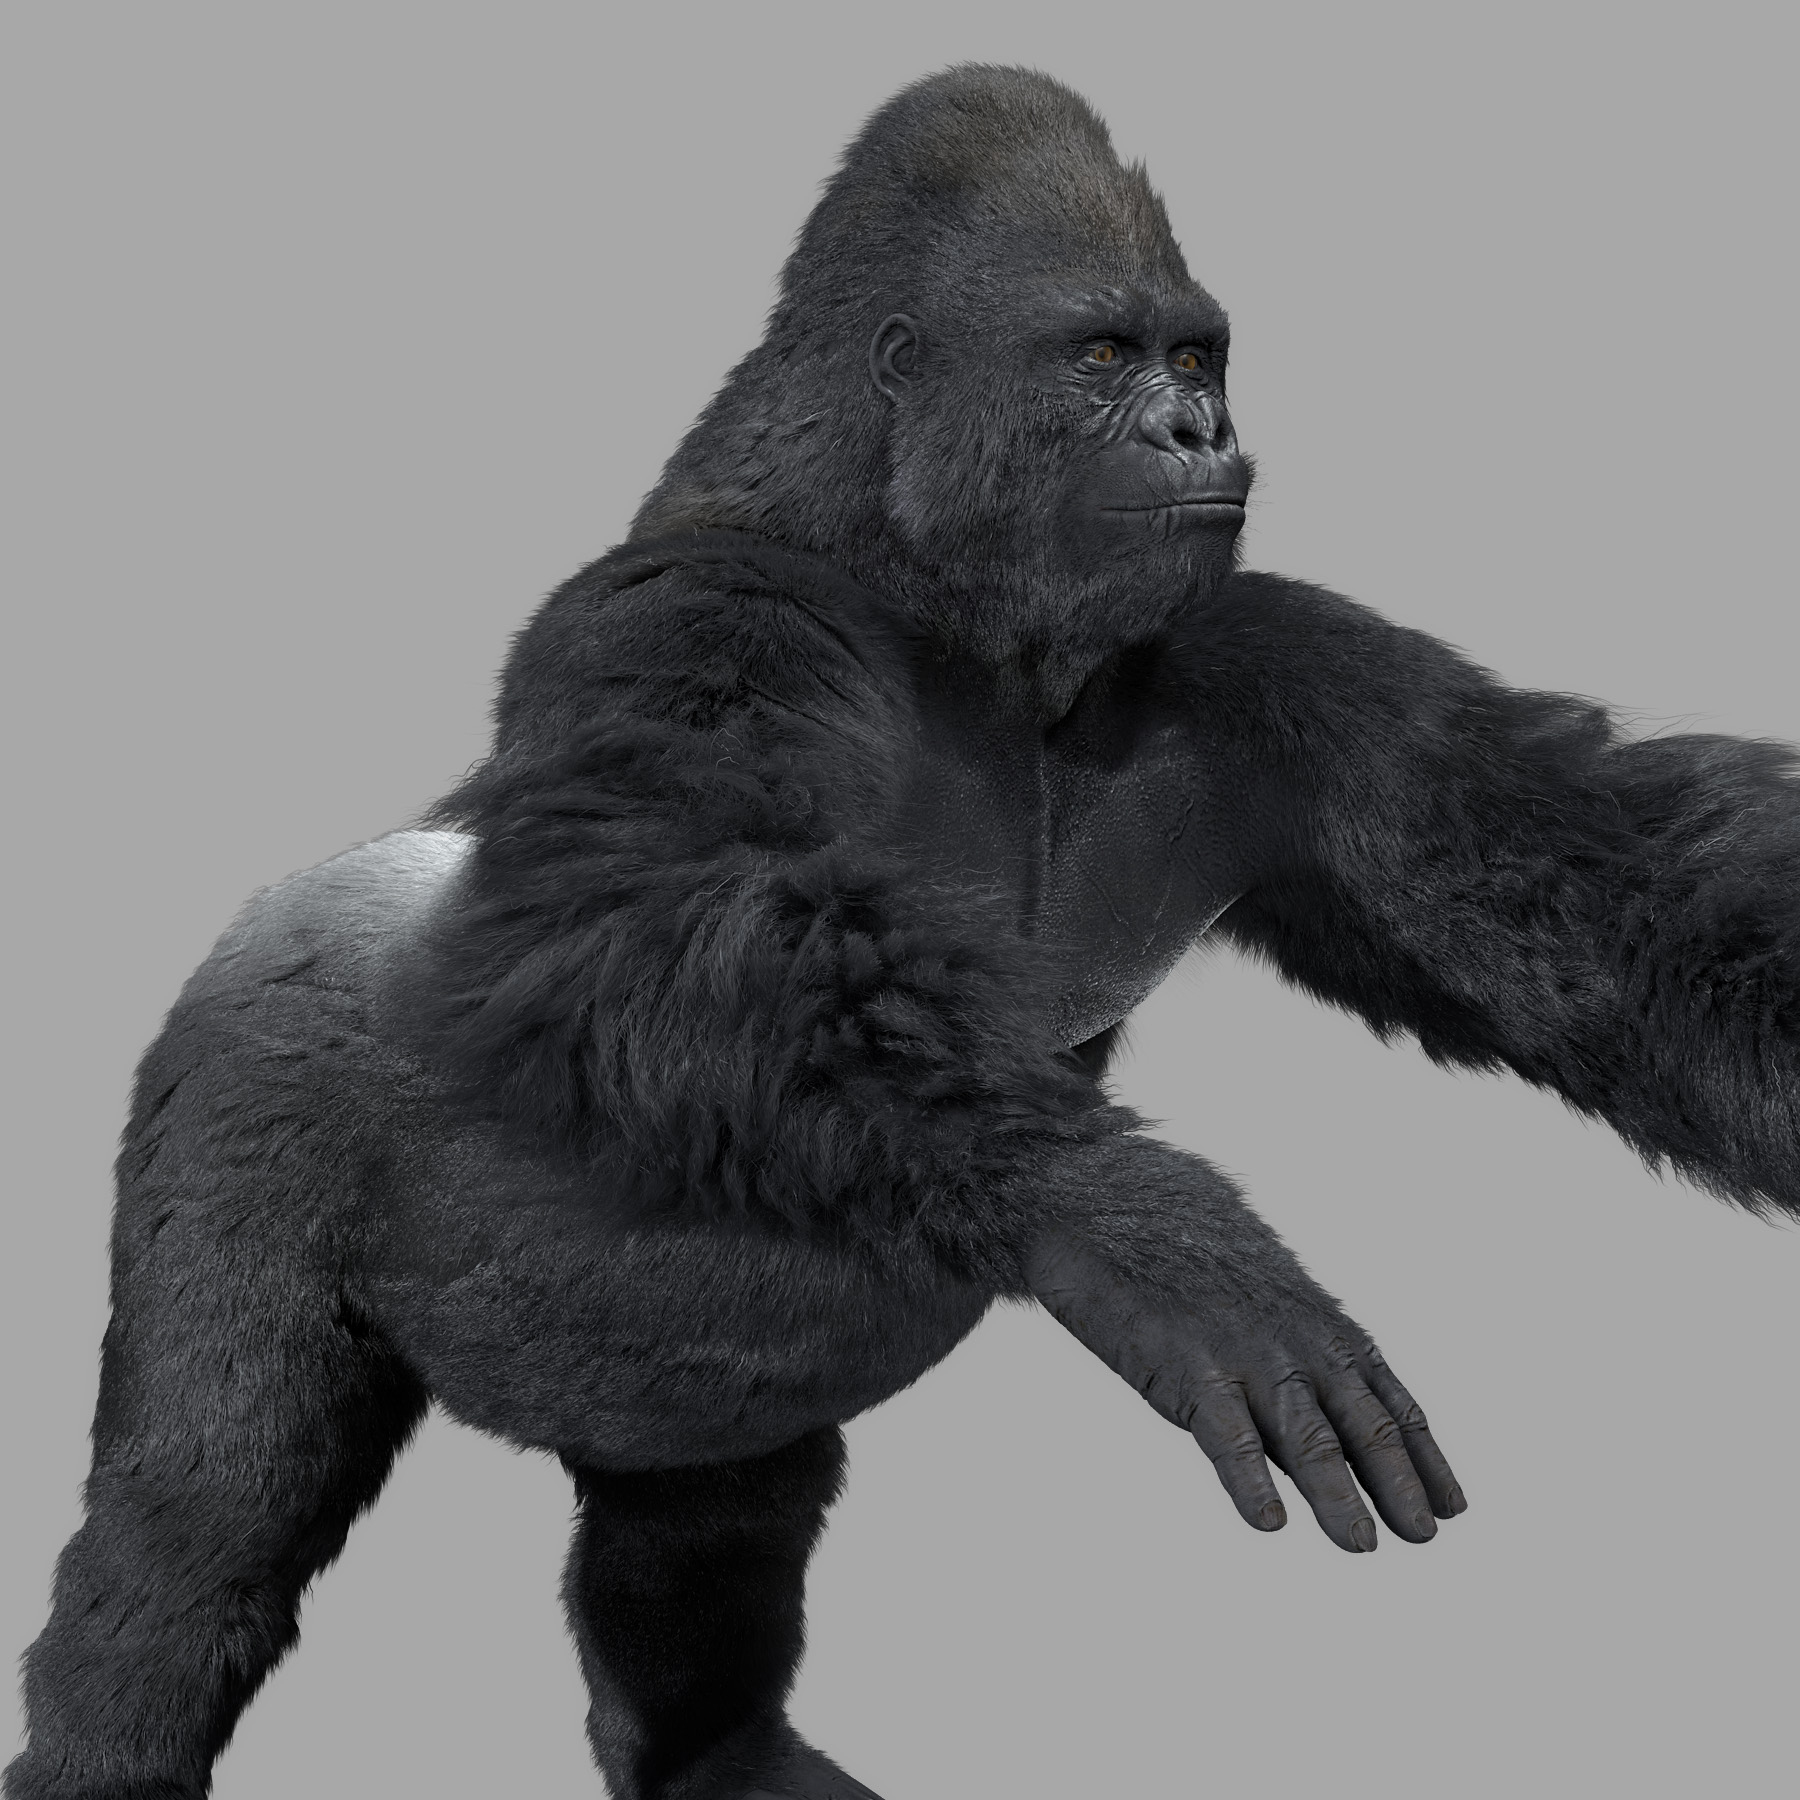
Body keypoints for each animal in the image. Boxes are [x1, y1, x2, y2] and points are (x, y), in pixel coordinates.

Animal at [10, 63, 1800, 1800]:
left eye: (1195, 355)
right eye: (1103, 355)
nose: (1200, 424)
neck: (930, 589)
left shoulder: (1273, 656)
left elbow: (1606, 901)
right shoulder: (697, 615)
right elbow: (625, 905)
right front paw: (1139, 1223)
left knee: (702, 1529)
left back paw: (717, 1755)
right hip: (242, 1065)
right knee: (196, 1530)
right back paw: (120, 1719)